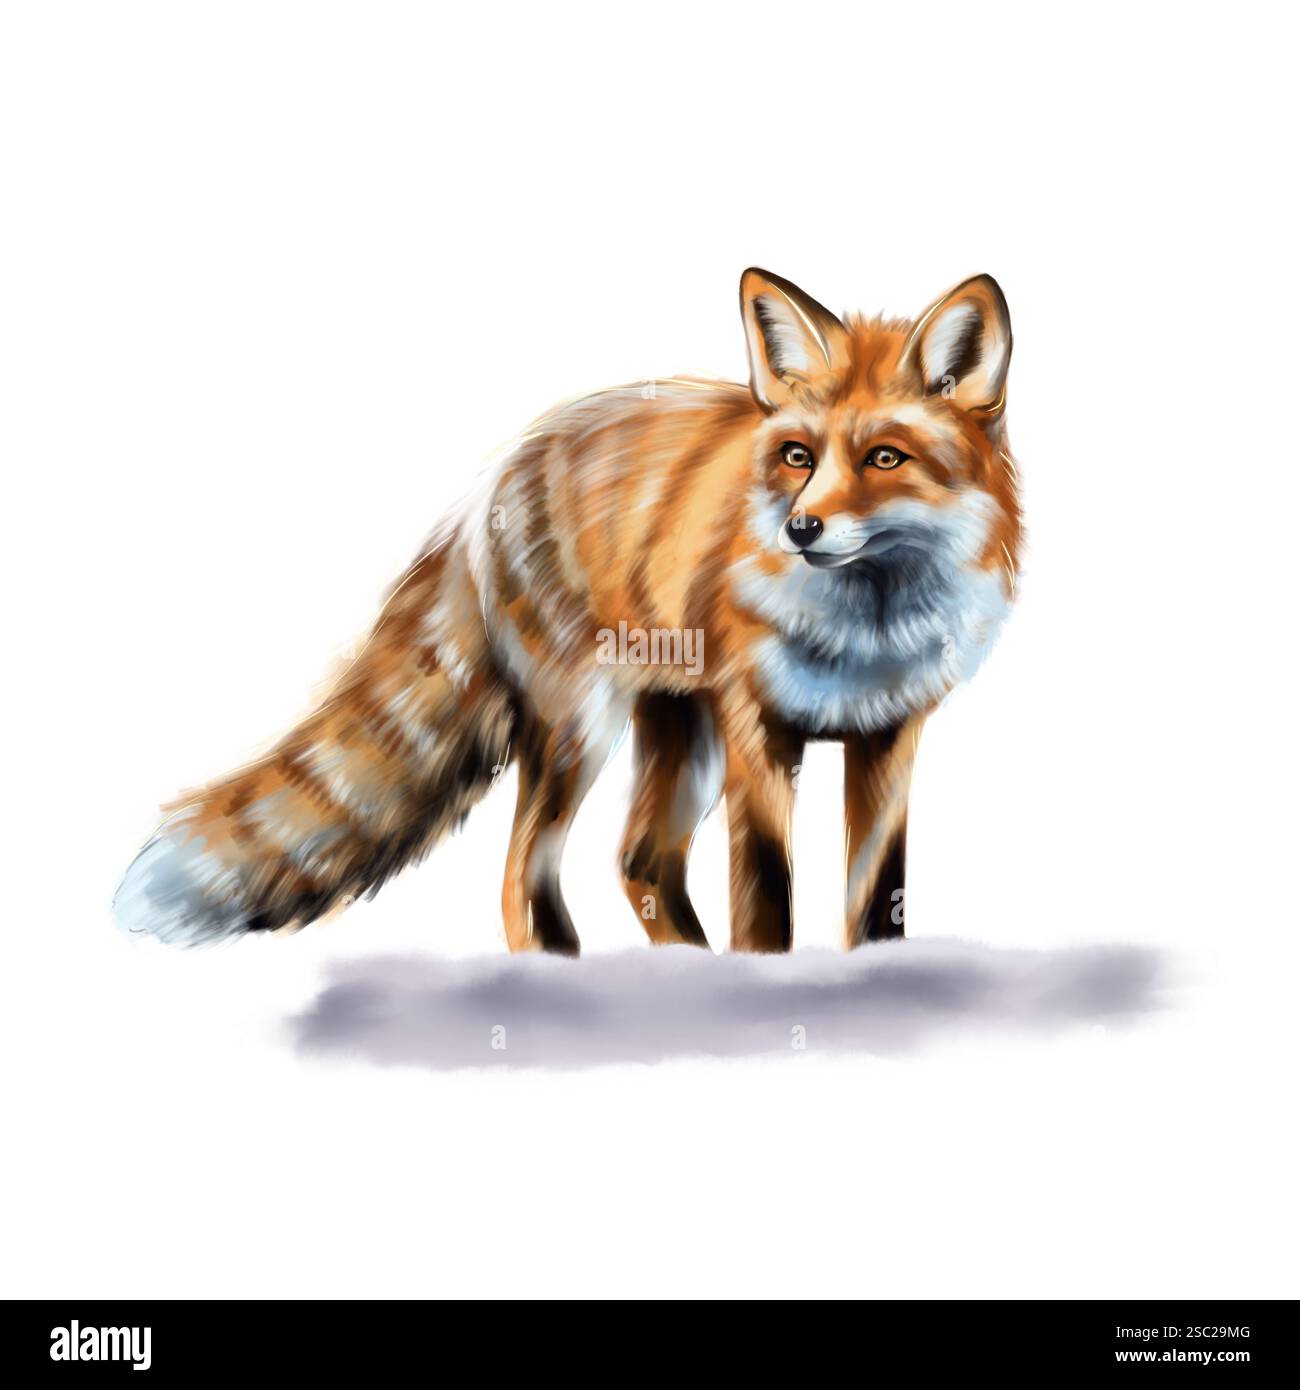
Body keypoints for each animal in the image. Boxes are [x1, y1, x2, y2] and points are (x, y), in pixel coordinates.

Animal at [115, 269, 1020, 954]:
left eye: (884, 458)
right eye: (799, 456)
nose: (800, 529)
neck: (865, 624)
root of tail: (492, 480)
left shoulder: (888, 735)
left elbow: (878, 898)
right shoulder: (759, 729)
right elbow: (765, 893)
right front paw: (770, 985)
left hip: (682, 736)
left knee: (641, 861)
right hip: (582, 729)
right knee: (526, 872)